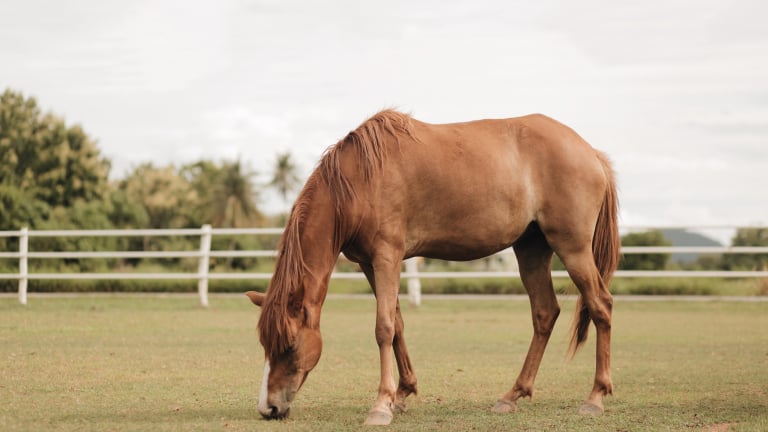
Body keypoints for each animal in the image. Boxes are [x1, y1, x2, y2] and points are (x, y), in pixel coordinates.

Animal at [246, 109, 620, 426]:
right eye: (264, 344)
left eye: (289, 345)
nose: (268, 408)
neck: (359, 180)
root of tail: (590, 153)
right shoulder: (369, 263)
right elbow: (397, 323)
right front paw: (402, 393)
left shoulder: (386, 257)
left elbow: (383, 327)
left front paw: (381, 406)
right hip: (531, 249)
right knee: (544, 313)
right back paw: (512, 395)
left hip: (572, 248)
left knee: (600, 306)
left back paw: (595, 398)